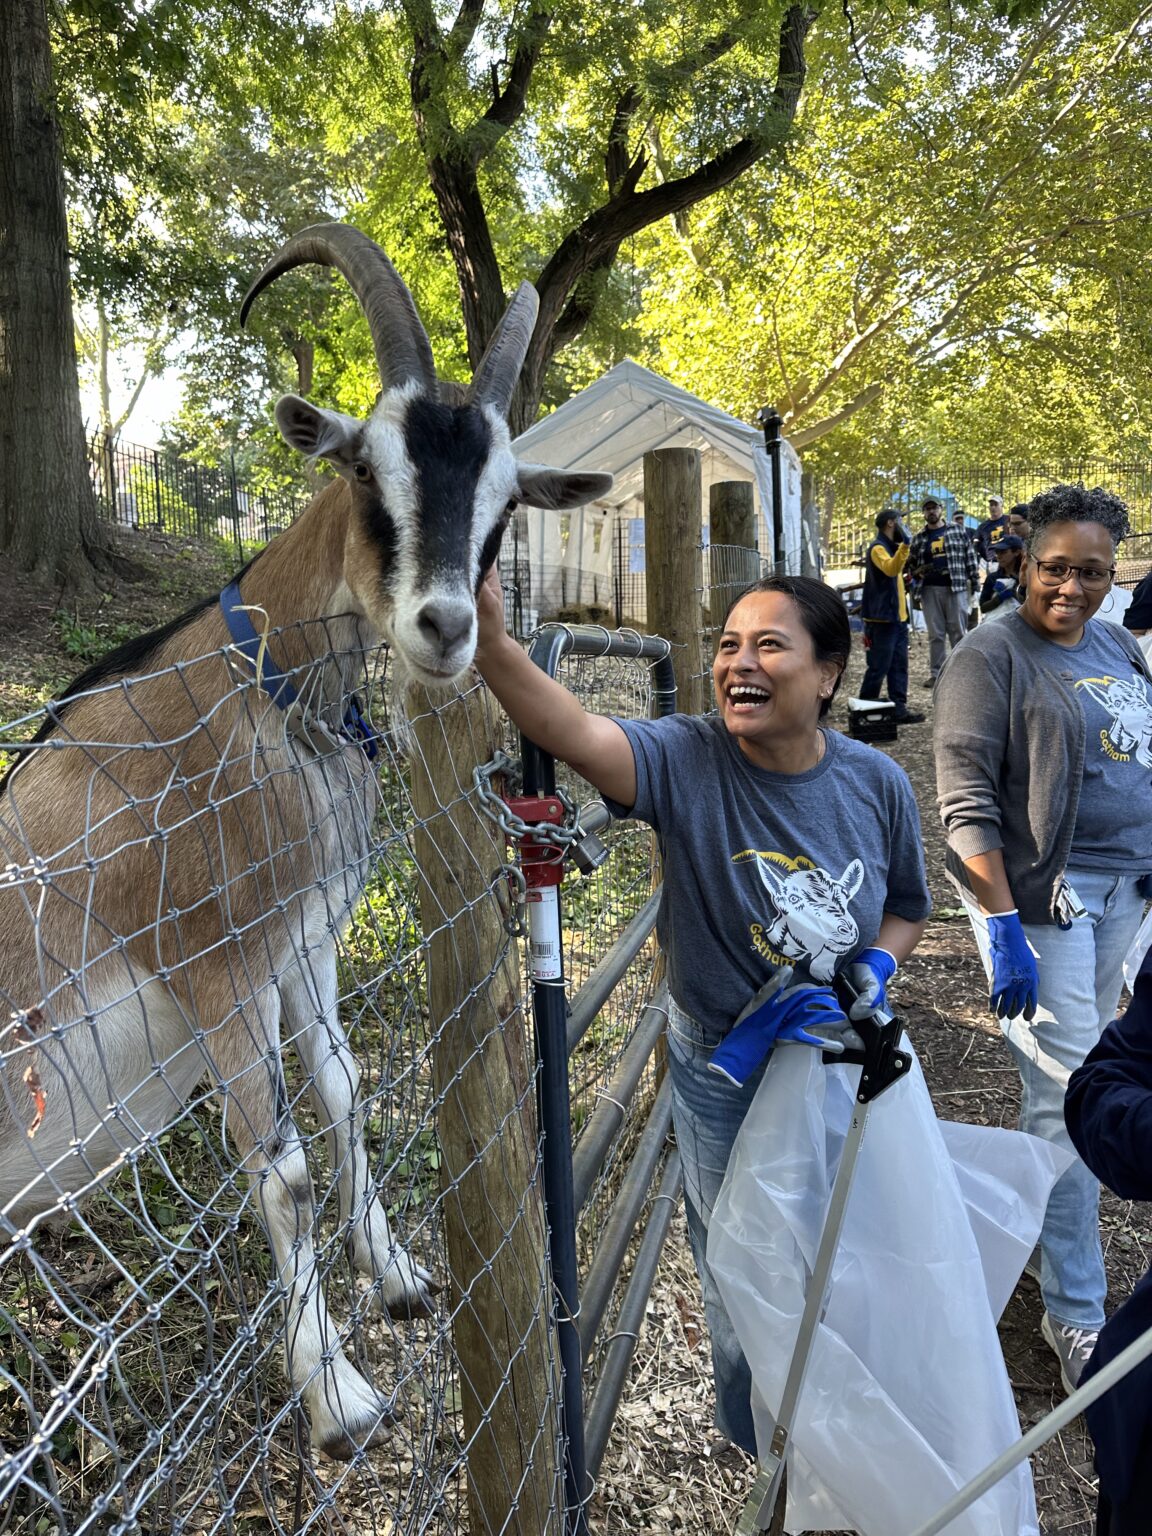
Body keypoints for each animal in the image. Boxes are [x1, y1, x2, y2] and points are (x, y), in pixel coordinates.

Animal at [0, 224, 612, 1459]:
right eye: (365, 469)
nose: (445, 626)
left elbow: (340, 1085)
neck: (265, 689)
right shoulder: (217, 967)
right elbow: (278, 1170)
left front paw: (403, 1277)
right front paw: (337, 1396)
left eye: (506, 502)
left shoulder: (304, 941)